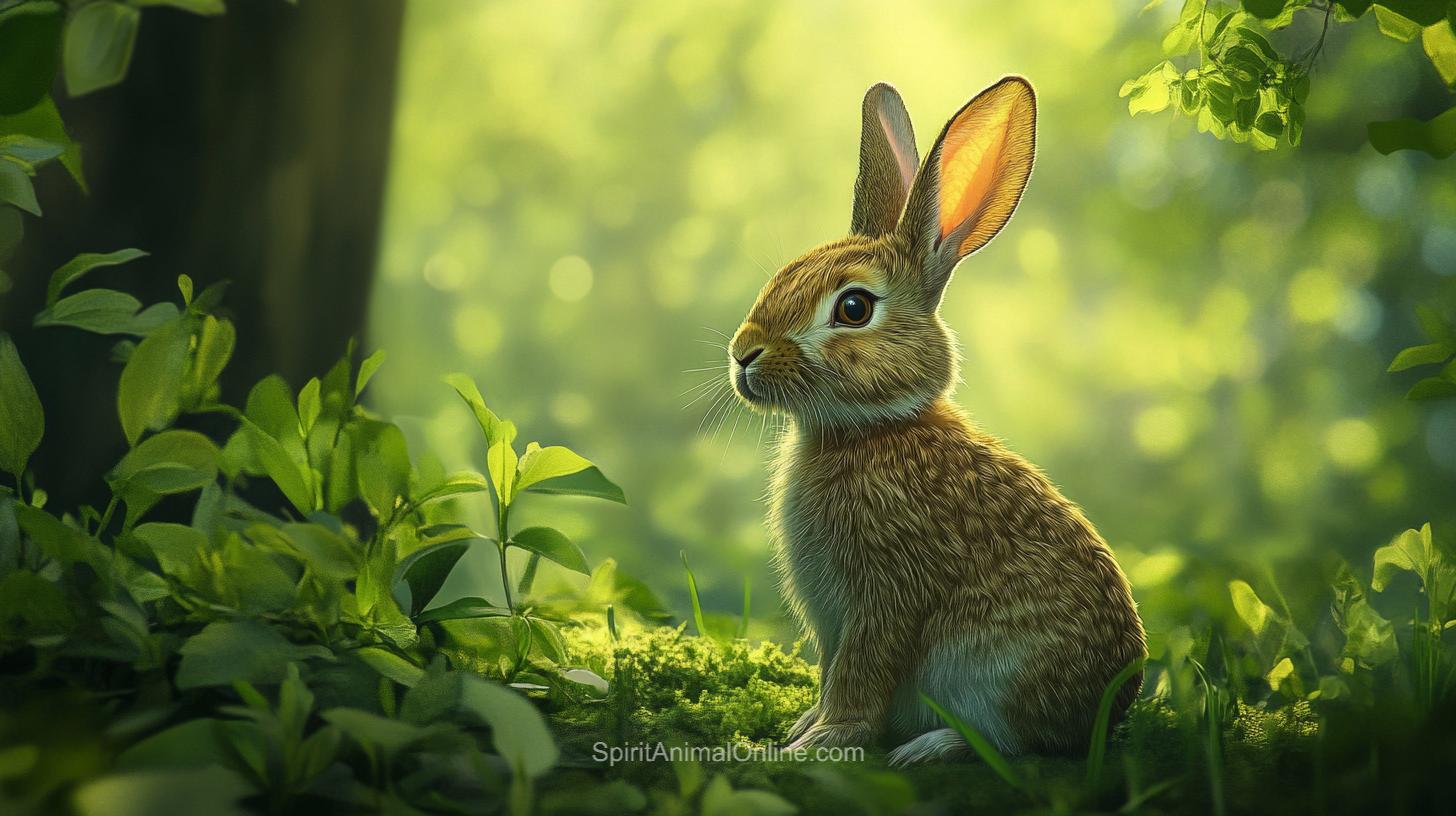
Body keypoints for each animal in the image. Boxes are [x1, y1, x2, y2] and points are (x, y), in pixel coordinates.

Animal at [726, 78, 1146, 766]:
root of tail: (1110, 713)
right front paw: (801, 726)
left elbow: (859, 679)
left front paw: (818, 744)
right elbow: (831, 673)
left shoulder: (885, 598)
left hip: (999, 671)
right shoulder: (833, 621)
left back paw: (930, 746)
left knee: (1017, 745)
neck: (871, 429)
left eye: (852, 308)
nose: (743, 354)